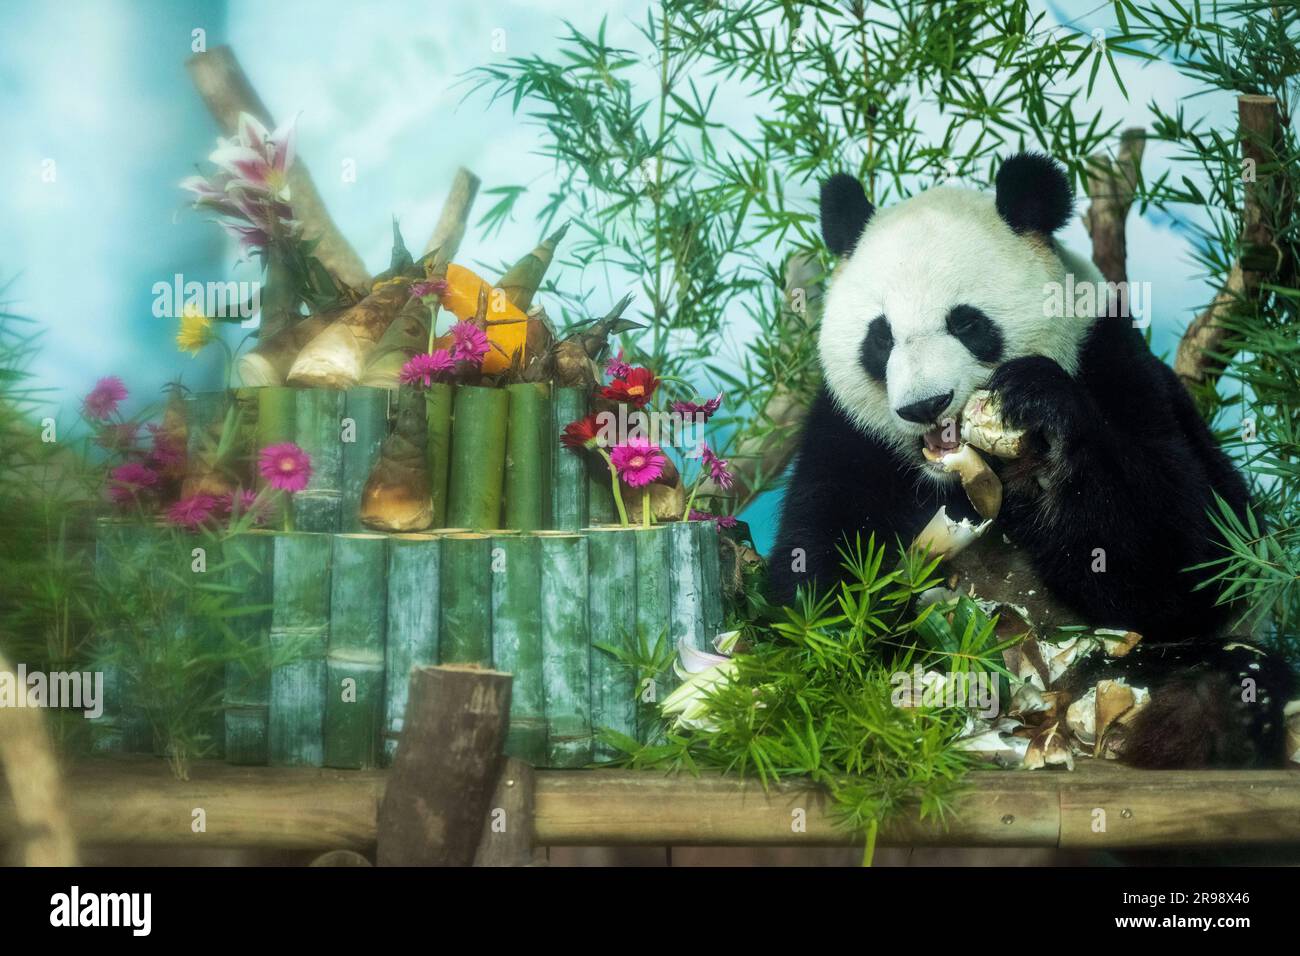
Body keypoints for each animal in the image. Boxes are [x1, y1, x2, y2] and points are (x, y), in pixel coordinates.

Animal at [770, 151, 1294, 768]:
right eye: (880, 338)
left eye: (966, 323)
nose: (925, 404)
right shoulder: (849, 433)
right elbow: (816, 566)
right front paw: (861, 649)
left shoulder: (1114, 362)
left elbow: (1196, 557)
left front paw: (1040, 421)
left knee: (1229, 666)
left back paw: (1185, 729)